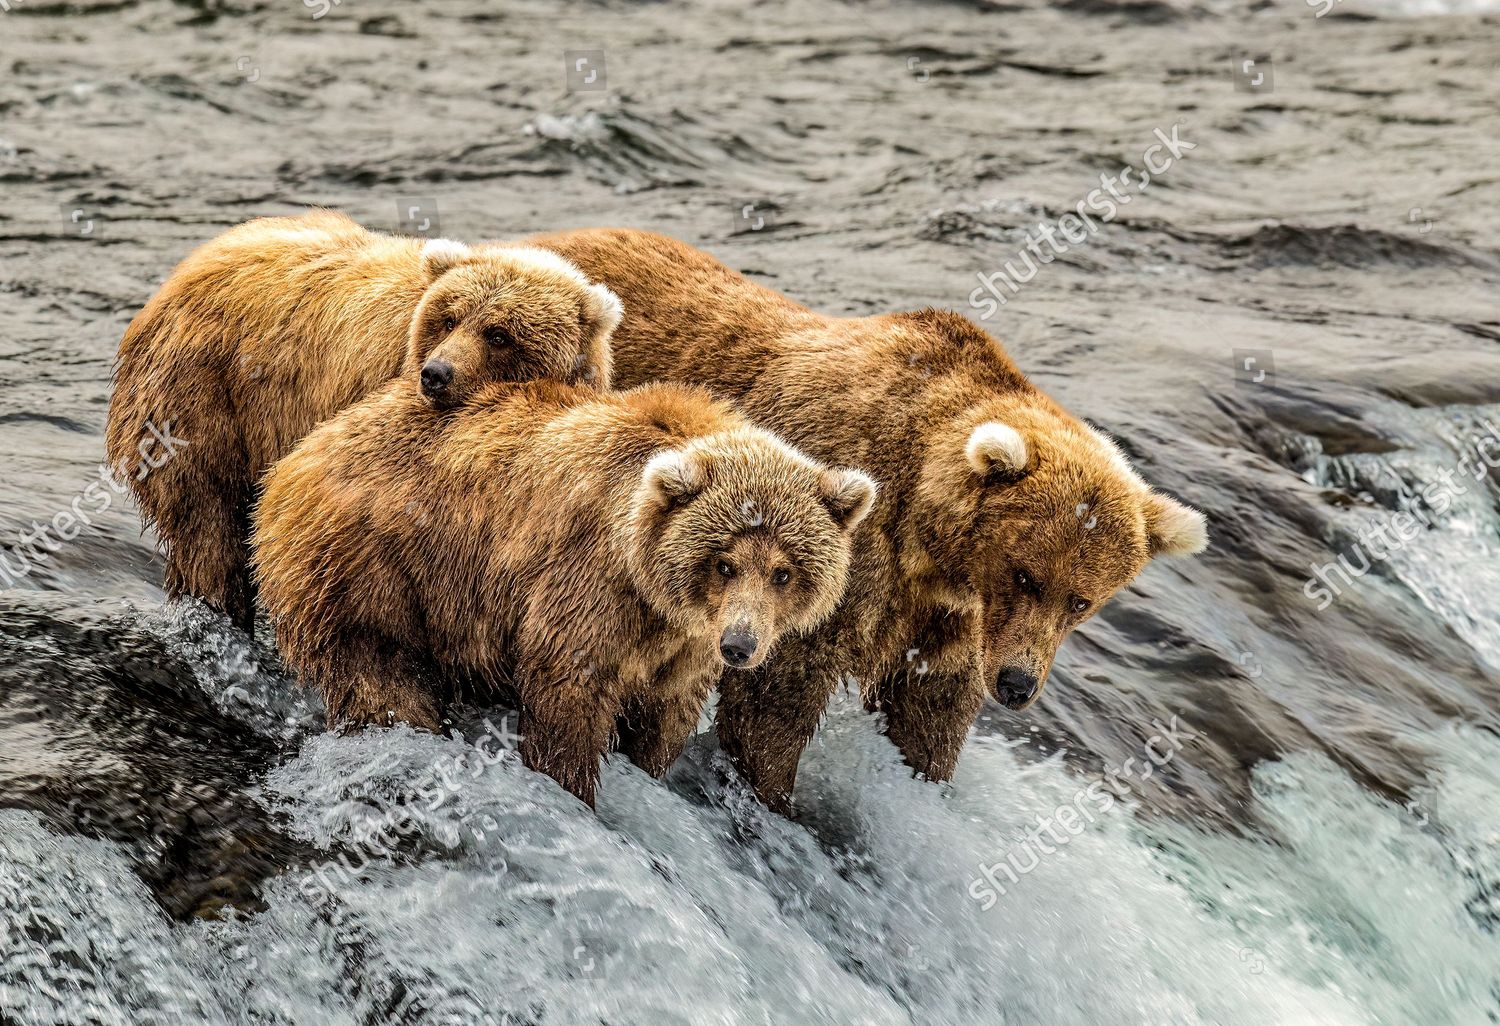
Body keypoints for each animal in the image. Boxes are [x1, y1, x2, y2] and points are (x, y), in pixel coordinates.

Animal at [105, 210, 622, 634]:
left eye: (499, 334)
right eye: (449, 318)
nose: (437, 373)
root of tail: (187, 267)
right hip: (201, 400)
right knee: (208, 527)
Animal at [250, 376, 876, 808]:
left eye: (784, 571)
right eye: (724, 563)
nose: (741, 646)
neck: (654, 590)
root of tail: (300, 453)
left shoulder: (681, 644)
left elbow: (665, 713)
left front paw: (646, 762)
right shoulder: (591, 583)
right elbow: (568, 686)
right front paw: (572, 784)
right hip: (369, 569)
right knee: (378, 675)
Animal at [525, 227, 1209, 813]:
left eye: (1081, 601)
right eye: (1026, 575)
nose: (1017, 684)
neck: (928, 541)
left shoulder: (950, 618)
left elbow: (931, 711)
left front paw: (927, 781)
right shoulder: (836, 558)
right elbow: (778, 699)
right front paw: (773, 795)